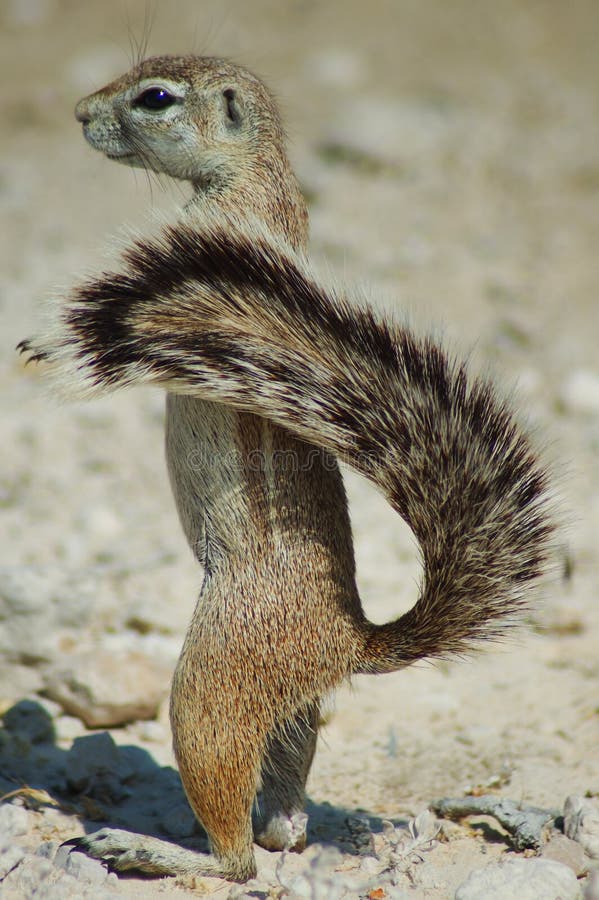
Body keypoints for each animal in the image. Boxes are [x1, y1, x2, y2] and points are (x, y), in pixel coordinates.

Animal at [18, 55, 555, 883]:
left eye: (155, 97)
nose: (79, 113)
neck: (256, 172)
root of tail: (354, 640)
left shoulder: (203, 247)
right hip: (292, 708)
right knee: (284, 810)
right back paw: (281, 824)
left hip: (212, 684)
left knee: (237, 856)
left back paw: (155, 850)